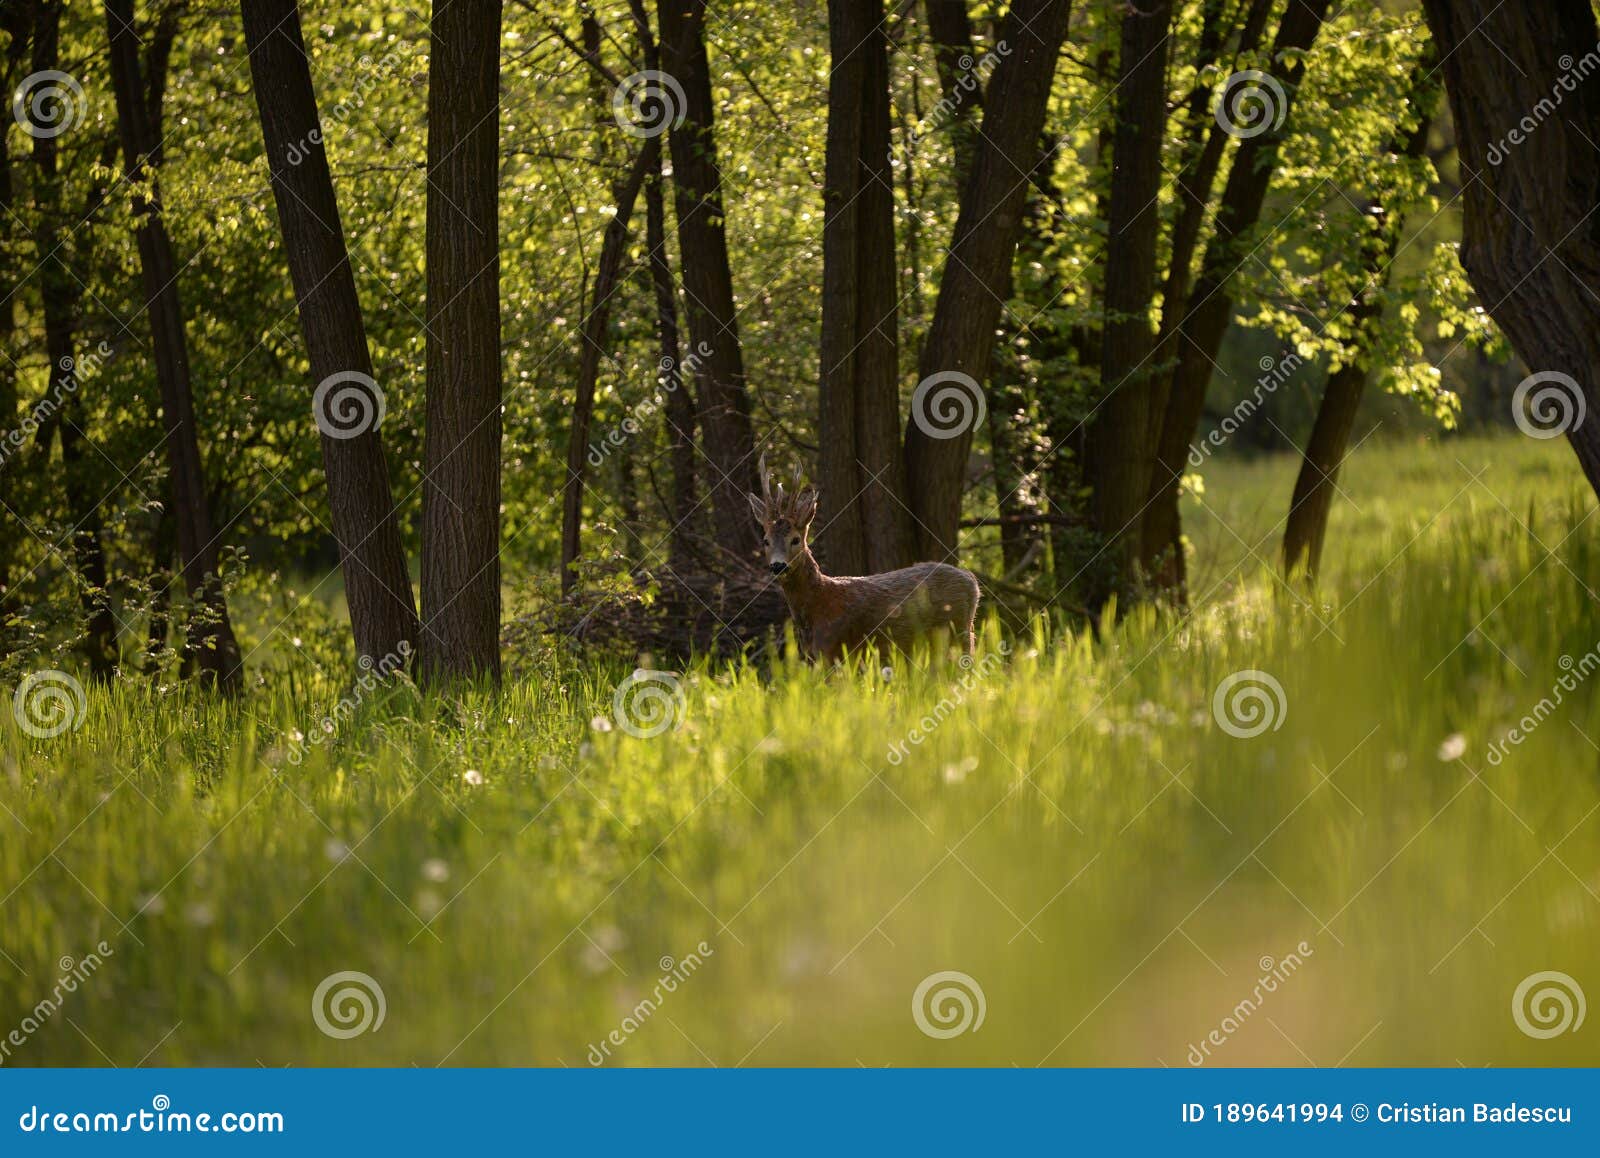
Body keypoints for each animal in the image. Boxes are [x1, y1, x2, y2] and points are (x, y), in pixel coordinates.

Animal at [748, 465, 980, 664]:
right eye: (766, 540)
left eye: (795, 540)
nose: (778, 565)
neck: (817, 605)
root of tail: (973, 584)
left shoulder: (833, 650)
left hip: (958, 631)